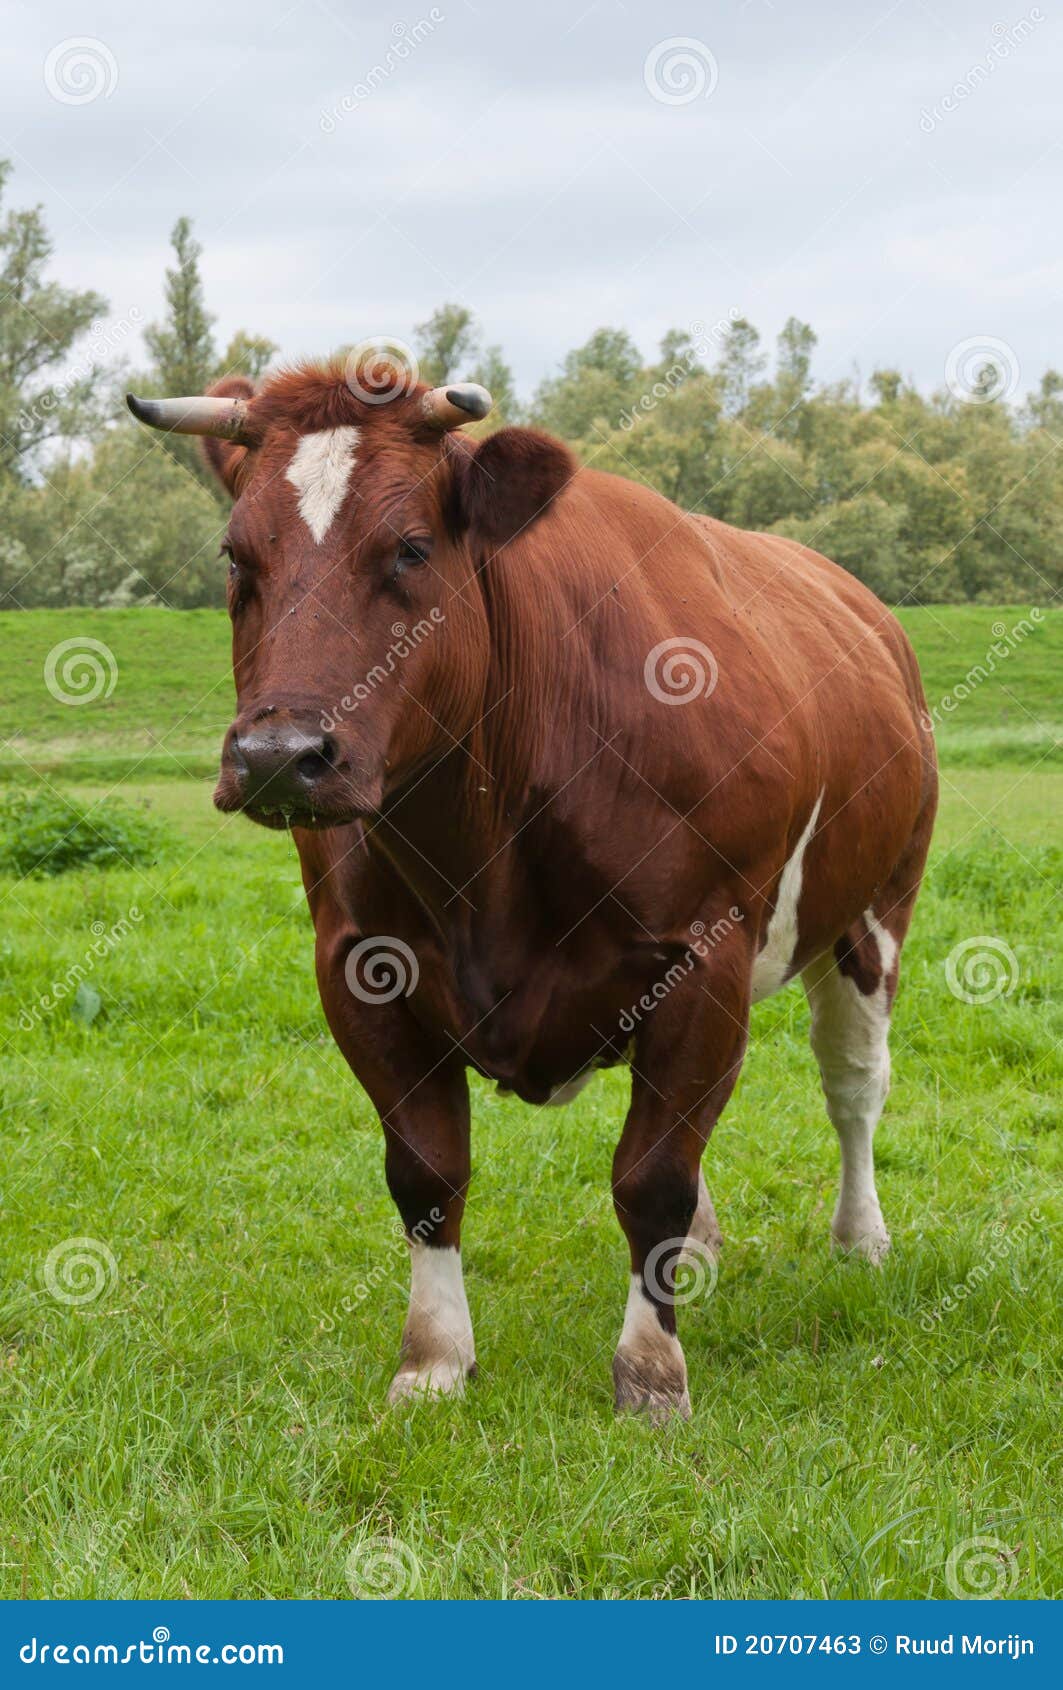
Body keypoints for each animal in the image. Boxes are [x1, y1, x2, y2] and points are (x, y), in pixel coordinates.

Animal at [127, 357, 938, 1423]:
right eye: (233, 558)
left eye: (411, 548)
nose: (276, 757)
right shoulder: (358, 968)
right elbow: (426, 1172)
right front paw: (433, 1360)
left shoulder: (704, 958)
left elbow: (651, 1177)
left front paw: (650, 1370)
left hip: (875, 911)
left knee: (851, 1089)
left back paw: (860, 1237)